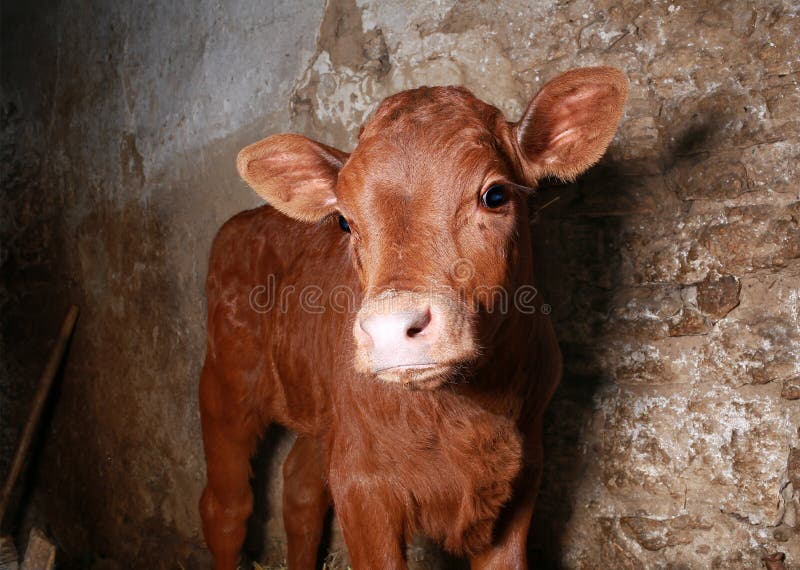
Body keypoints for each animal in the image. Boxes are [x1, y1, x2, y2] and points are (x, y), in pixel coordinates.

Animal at [199, 67, 627, 569]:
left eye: (495, 194)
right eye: (344, 221)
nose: (389, 328)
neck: (465, 409)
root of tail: (248, 217)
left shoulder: (521, 474)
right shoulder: (362, 482)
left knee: (301, 490)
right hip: (226, 382)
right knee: (227, 507)